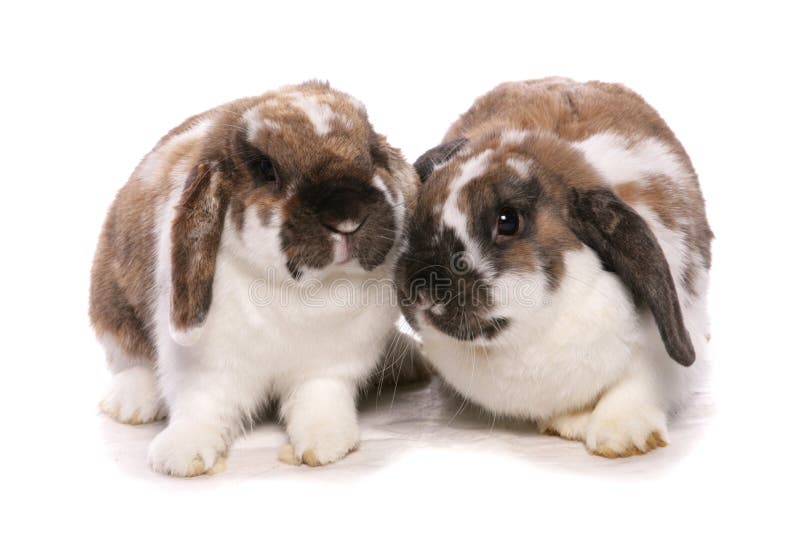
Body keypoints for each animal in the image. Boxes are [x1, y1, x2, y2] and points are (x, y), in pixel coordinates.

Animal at [90, 81, 421, 476]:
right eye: (266, 169)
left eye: (370, 154)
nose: (347, 216)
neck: (303, 292)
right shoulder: (205, 370)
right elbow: (201, 405)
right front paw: (181, 456)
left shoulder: (329, 368)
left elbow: (321, 401)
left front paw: (326, 444)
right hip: (113, 307)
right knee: (132, 361)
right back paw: (130, 405)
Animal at [397, 78, 713, 458]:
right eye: (419, 204)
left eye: (508, 221)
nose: (421, 283)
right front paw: (572, 422)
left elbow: (643, 382)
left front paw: (621, 436)